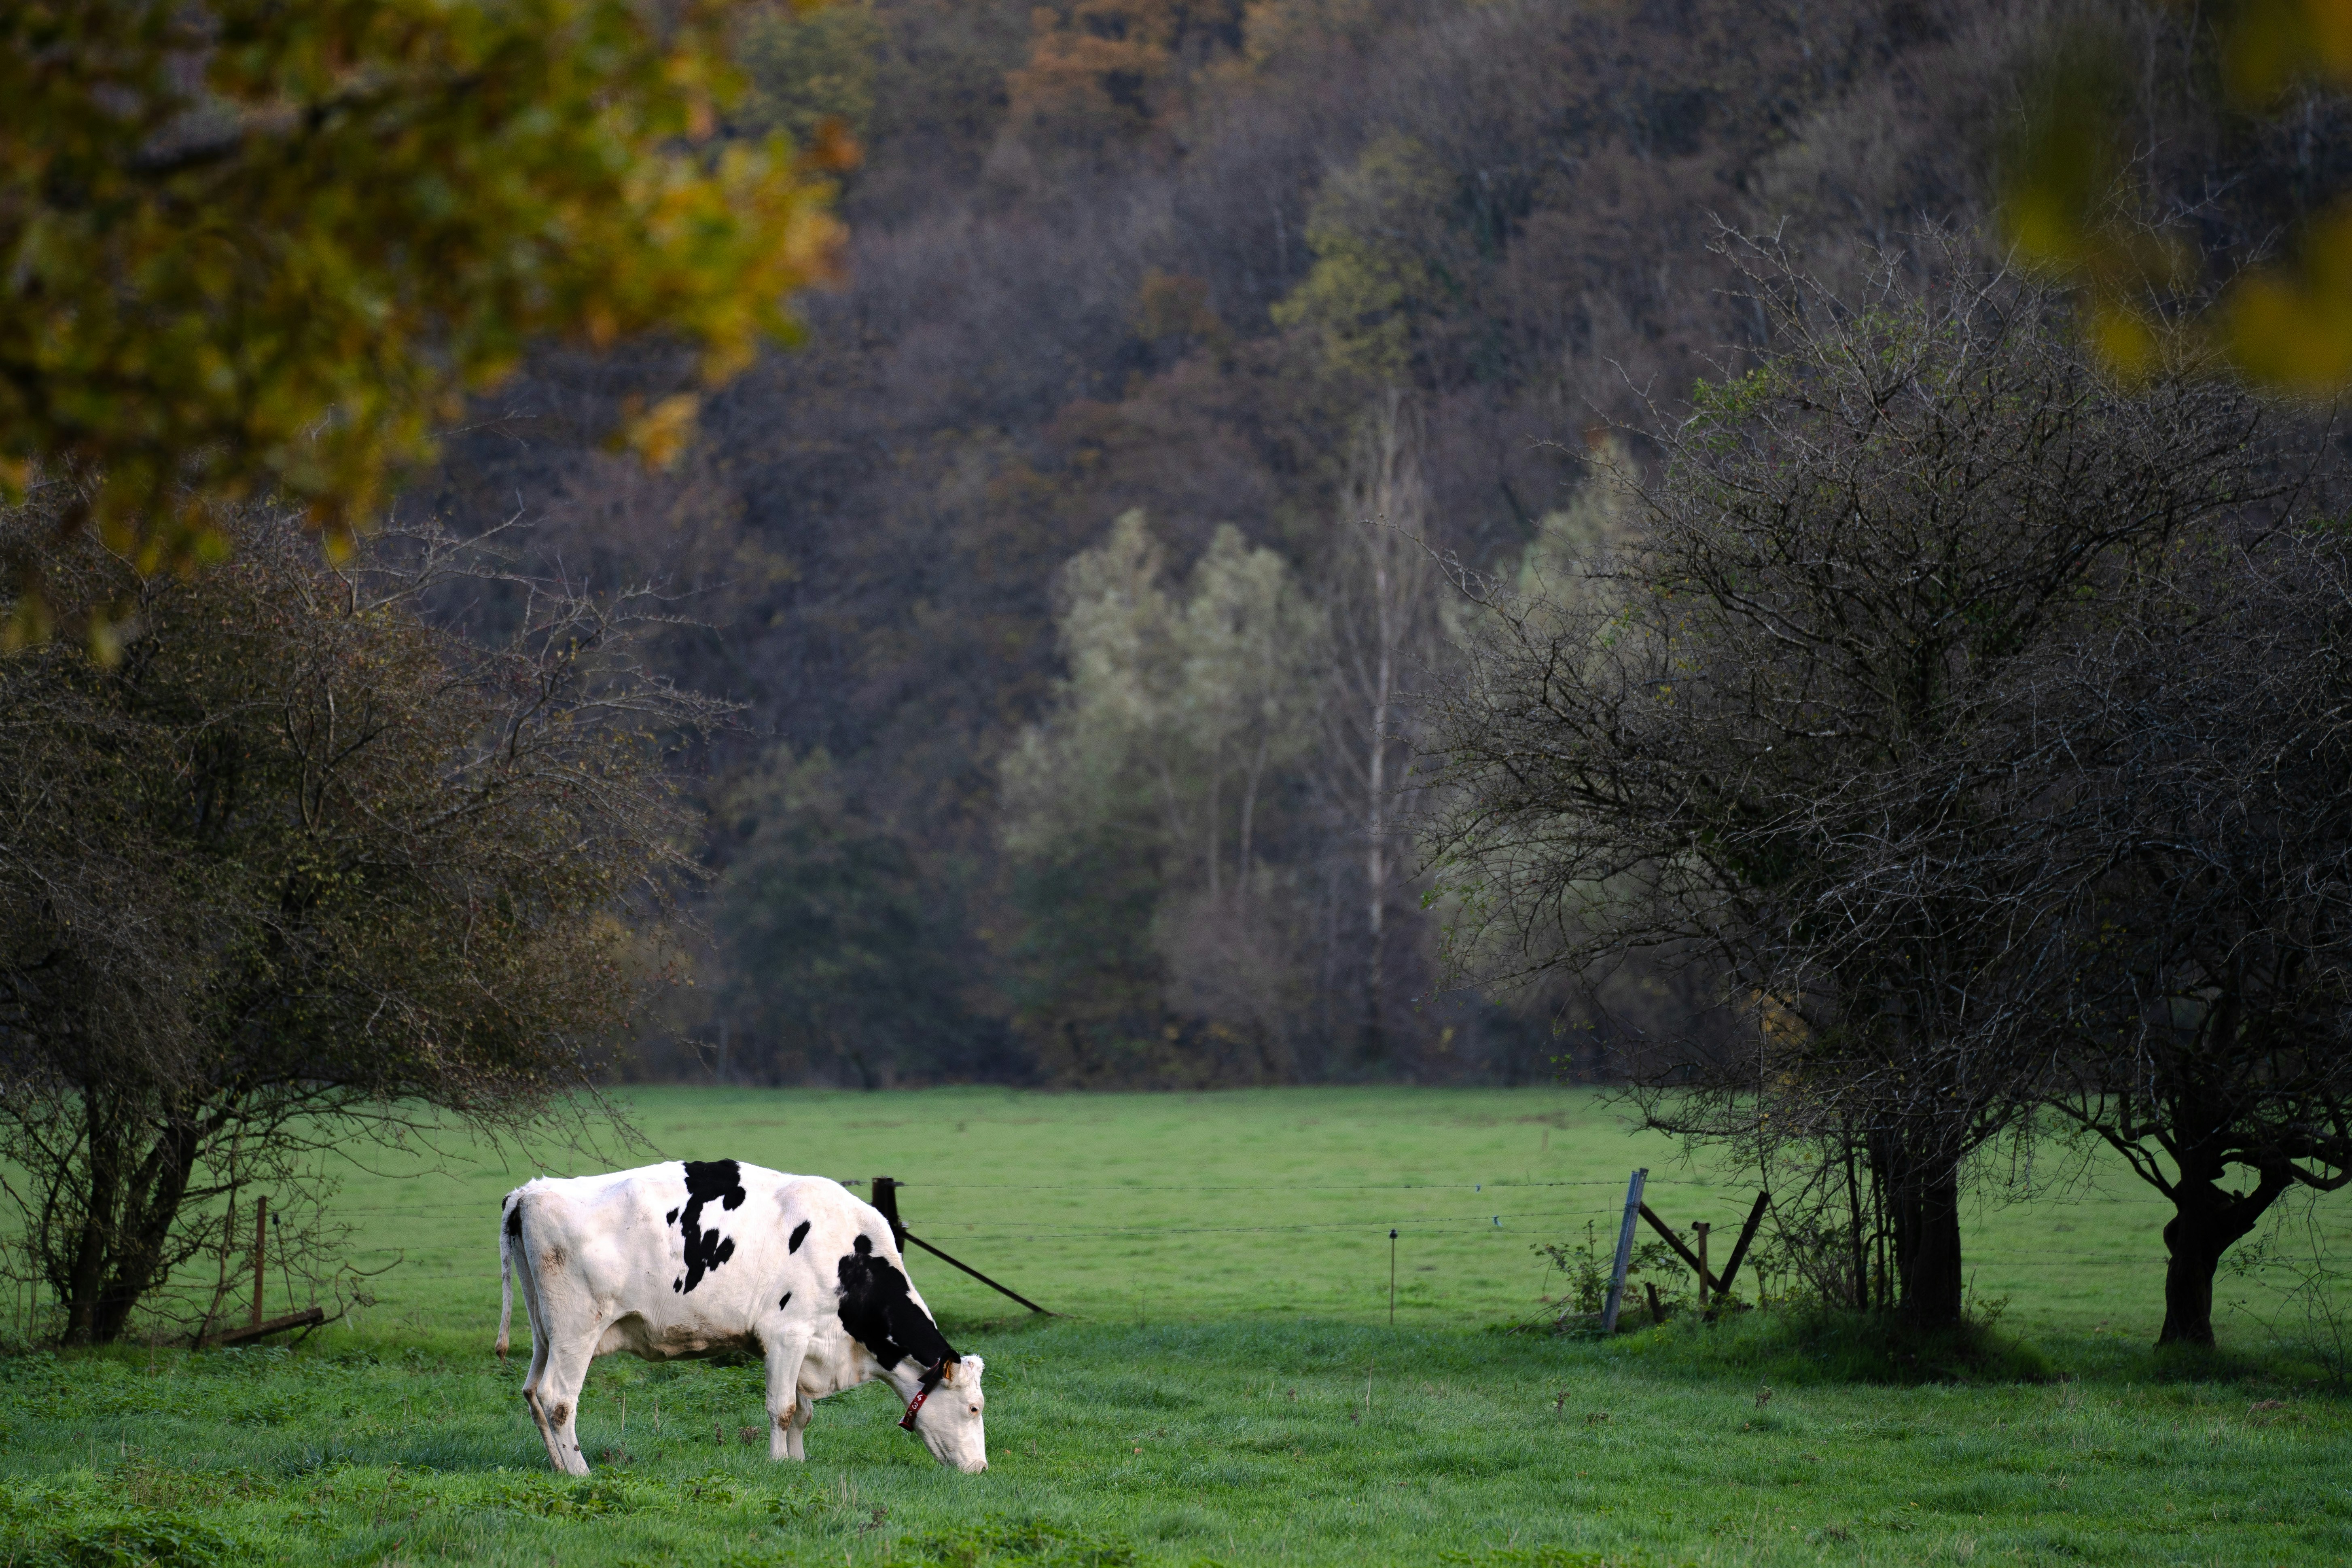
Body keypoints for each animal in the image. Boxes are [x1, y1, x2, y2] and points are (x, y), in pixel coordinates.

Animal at [495, 1159, 987, 1475]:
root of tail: (531, 1191)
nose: (981, 1467)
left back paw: (559, 1467)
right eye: (975, 1407)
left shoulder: (801, 1347)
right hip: (577, 1330)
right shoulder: (787, 1334)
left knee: (533, 1392)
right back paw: (581, 1471)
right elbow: (783, 1410)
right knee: (560, 1398)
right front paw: (778, 1465)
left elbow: (803, 1413)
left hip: (544, 1331)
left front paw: (798, 1464)